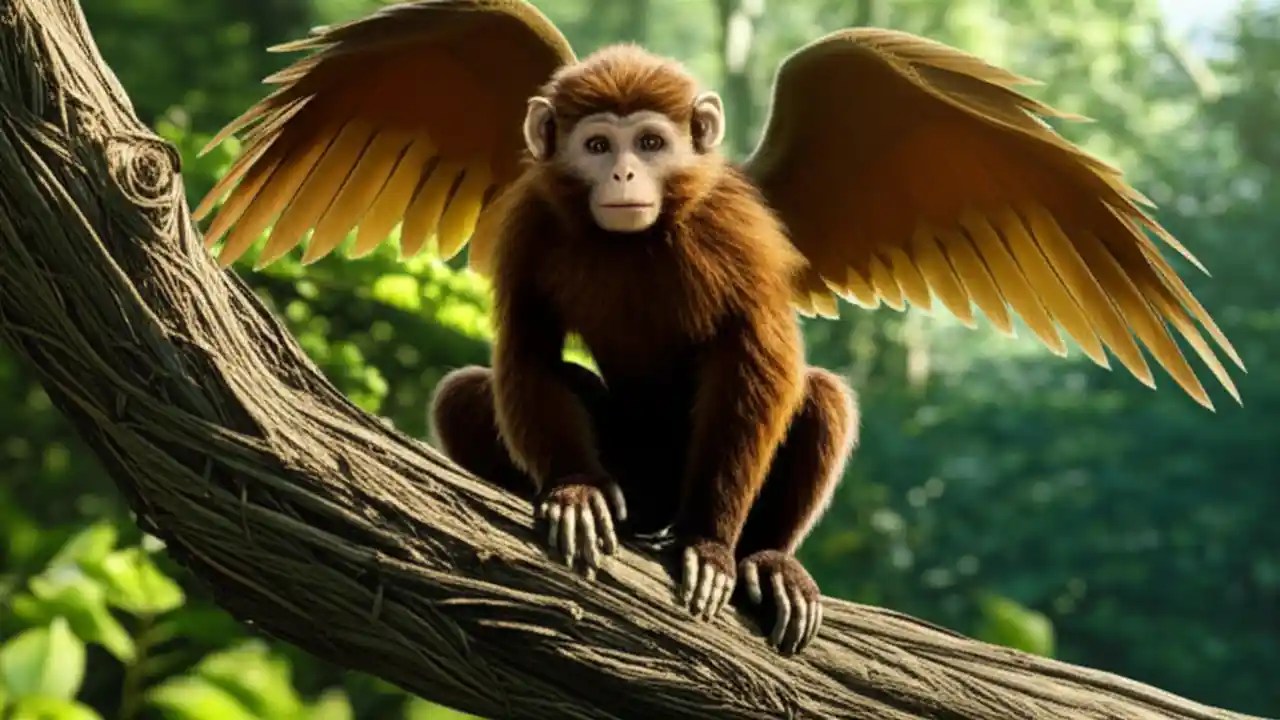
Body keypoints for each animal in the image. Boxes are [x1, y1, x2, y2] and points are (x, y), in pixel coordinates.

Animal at [196, 0, 1241, 658]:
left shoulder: (741, 234)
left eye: (651, 144)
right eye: (597, 144)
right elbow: (524, 350)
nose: (623, 175)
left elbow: (762, 363)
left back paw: (763, 561)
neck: (644, 234)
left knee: (818, 395)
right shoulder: (531, 217)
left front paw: (709, 549)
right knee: (466, 392)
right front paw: (574, 496)